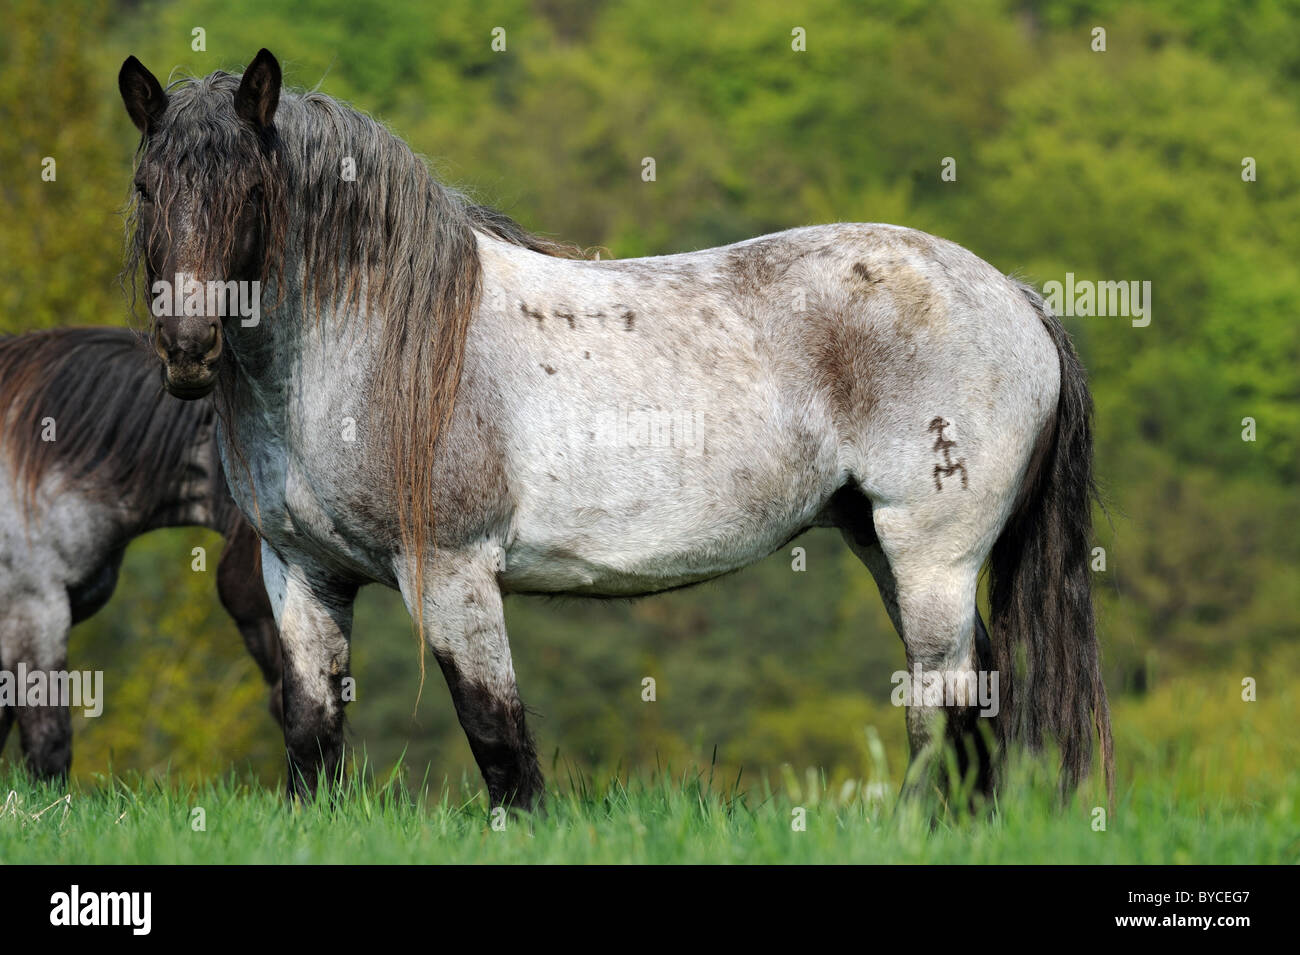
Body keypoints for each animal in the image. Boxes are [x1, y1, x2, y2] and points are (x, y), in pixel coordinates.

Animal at [118, 48, 1112, 809]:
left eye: (252, 190)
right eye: (146, 186)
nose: (188, 346)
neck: (379, 347)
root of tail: (1015, 296)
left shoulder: (452, 572)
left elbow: (499, 739)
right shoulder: (304, 573)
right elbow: (312, 733)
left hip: (931, 554)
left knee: (945, 701)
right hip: (885, 545)